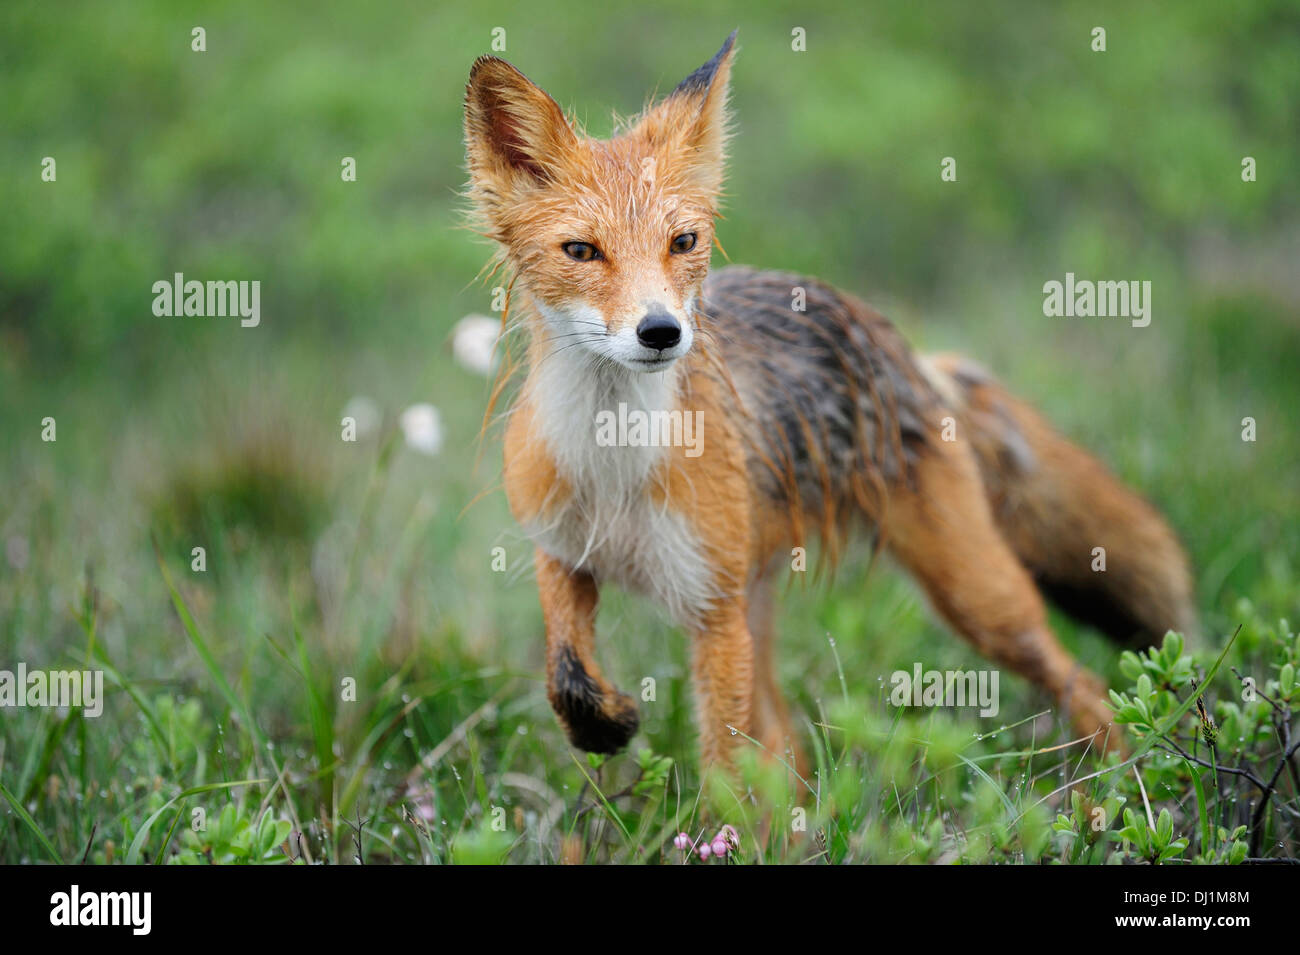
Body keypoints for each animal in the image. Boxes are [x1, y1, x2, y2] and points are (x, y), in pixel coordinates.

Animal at [462, 31, 1197, 774]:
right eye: (582, 251)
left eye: (683, 243)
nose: (662, 331)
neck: (612, 466)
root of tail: (904, 350)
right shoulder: (562, 552)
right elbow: (566, 673)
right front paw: (605, 723)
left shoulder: (713, 610)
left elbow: (721, 768)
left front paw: (674, 788)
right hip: (767, 597)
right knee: (787, 743)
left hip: (977, 597)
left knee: (1084, 682)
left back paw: (1119, 781)